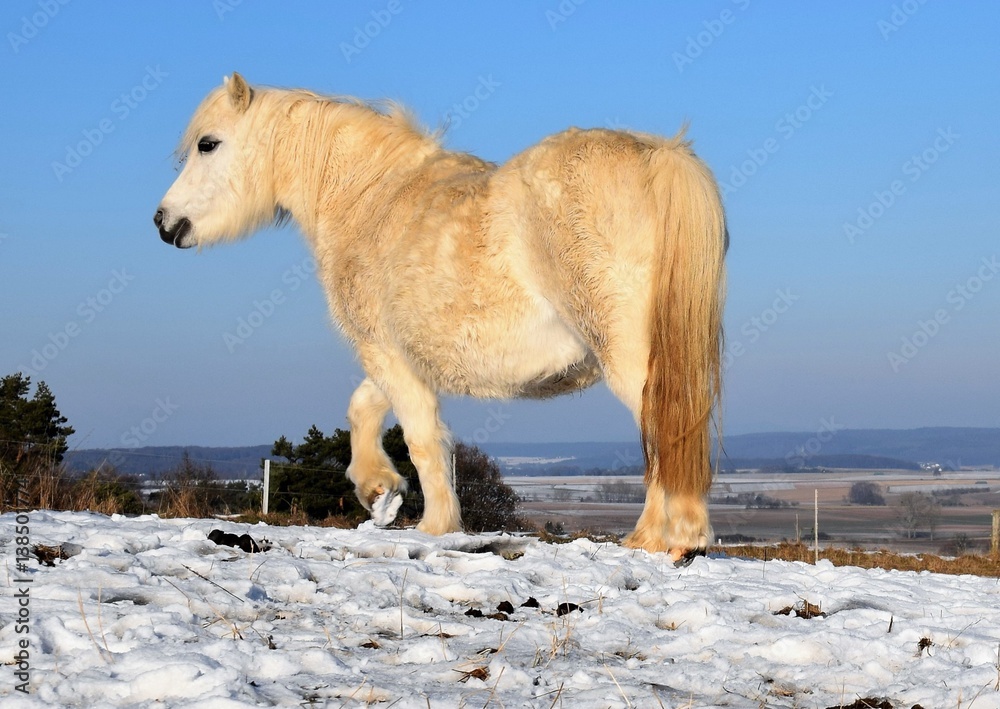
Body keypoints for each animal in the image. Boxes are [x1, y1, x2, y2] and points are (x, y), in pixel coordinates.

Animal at [154, 73, 727, 563]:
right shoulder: (400, 356)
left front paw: (432, 524)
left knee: (665, 427)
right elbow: (365, 408)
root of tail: (659, 155)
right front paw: (380, 491)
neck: (372, 200)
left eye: (208, 144)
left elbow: (422, 438)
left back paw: (669, 537)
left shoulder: (384, 349)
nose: (164, 222)